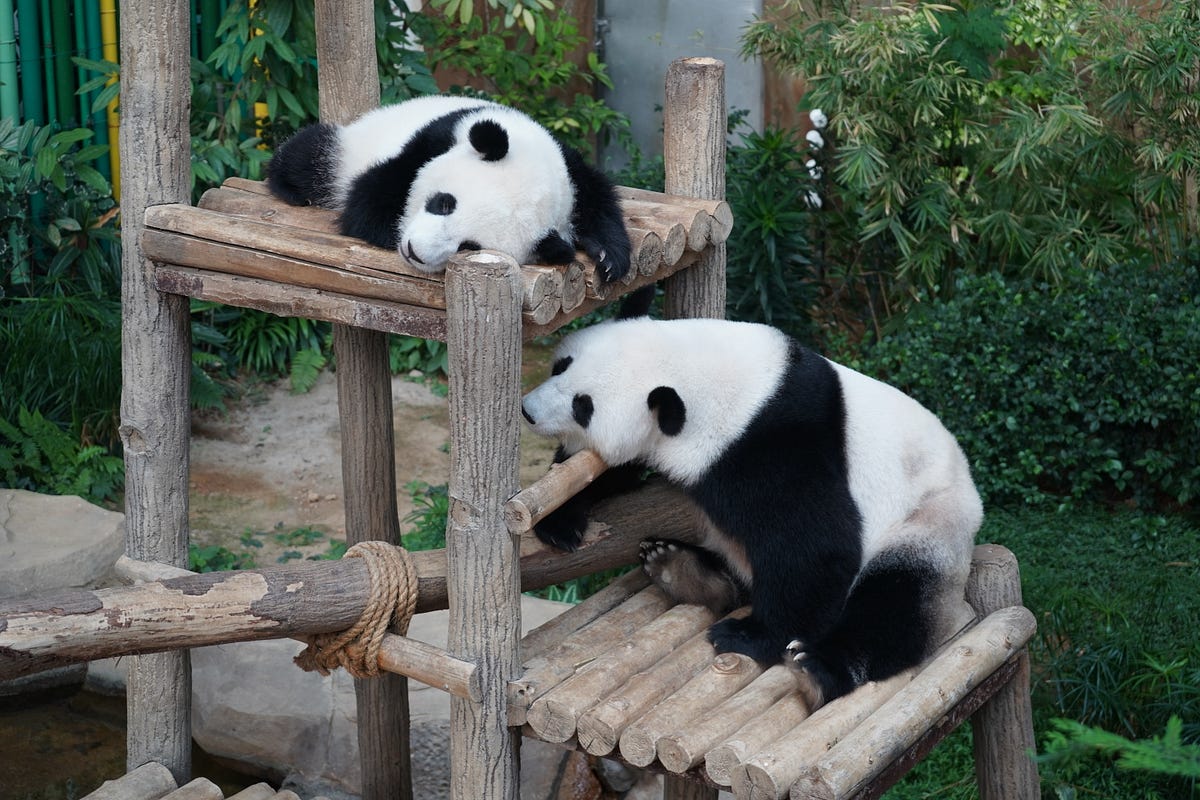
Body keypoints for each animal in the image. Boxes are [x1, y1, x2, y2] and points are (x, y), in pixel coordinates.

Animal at [266, 95, 631, 282]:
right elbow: (367, 205)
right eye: (444, 203)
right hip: (349, 148)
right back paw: (290, 185)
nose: (413, 250)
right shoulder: (436, 139)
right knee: (311, 156)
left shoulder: (570, 172)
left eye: (469, 247)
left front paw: (608, 257)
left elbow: (598, 197)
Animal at [520, 316, 981, 710]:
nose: (528, 410)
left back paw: (818, 669)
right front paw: (559, 521)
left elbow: (815, 548)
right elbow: (605, 474)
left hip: (929, 521)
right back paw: (682, 568)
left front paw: (749, 635)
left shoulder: (770, 441)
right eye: (561, 366)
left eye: (583, 406)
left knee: (895, 600)